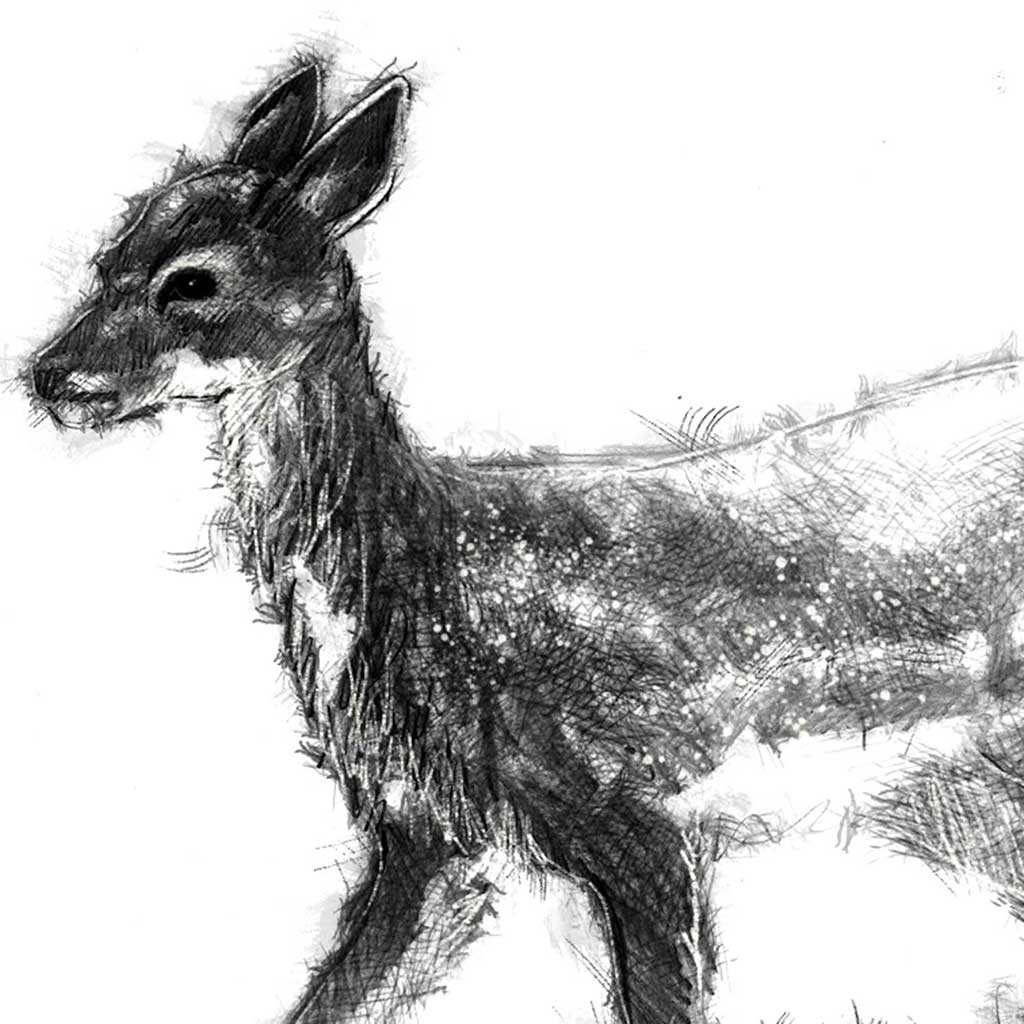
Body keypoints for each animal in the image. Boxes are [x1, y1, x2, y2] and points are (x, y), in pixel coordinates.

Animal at [25, 51, 1024, 1024]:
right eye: (111, 255)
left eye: (192, 280)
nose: (51, 377)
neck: (427, 581)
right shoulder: (428, 834)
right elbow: (341, 994)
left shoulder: (630, 806)